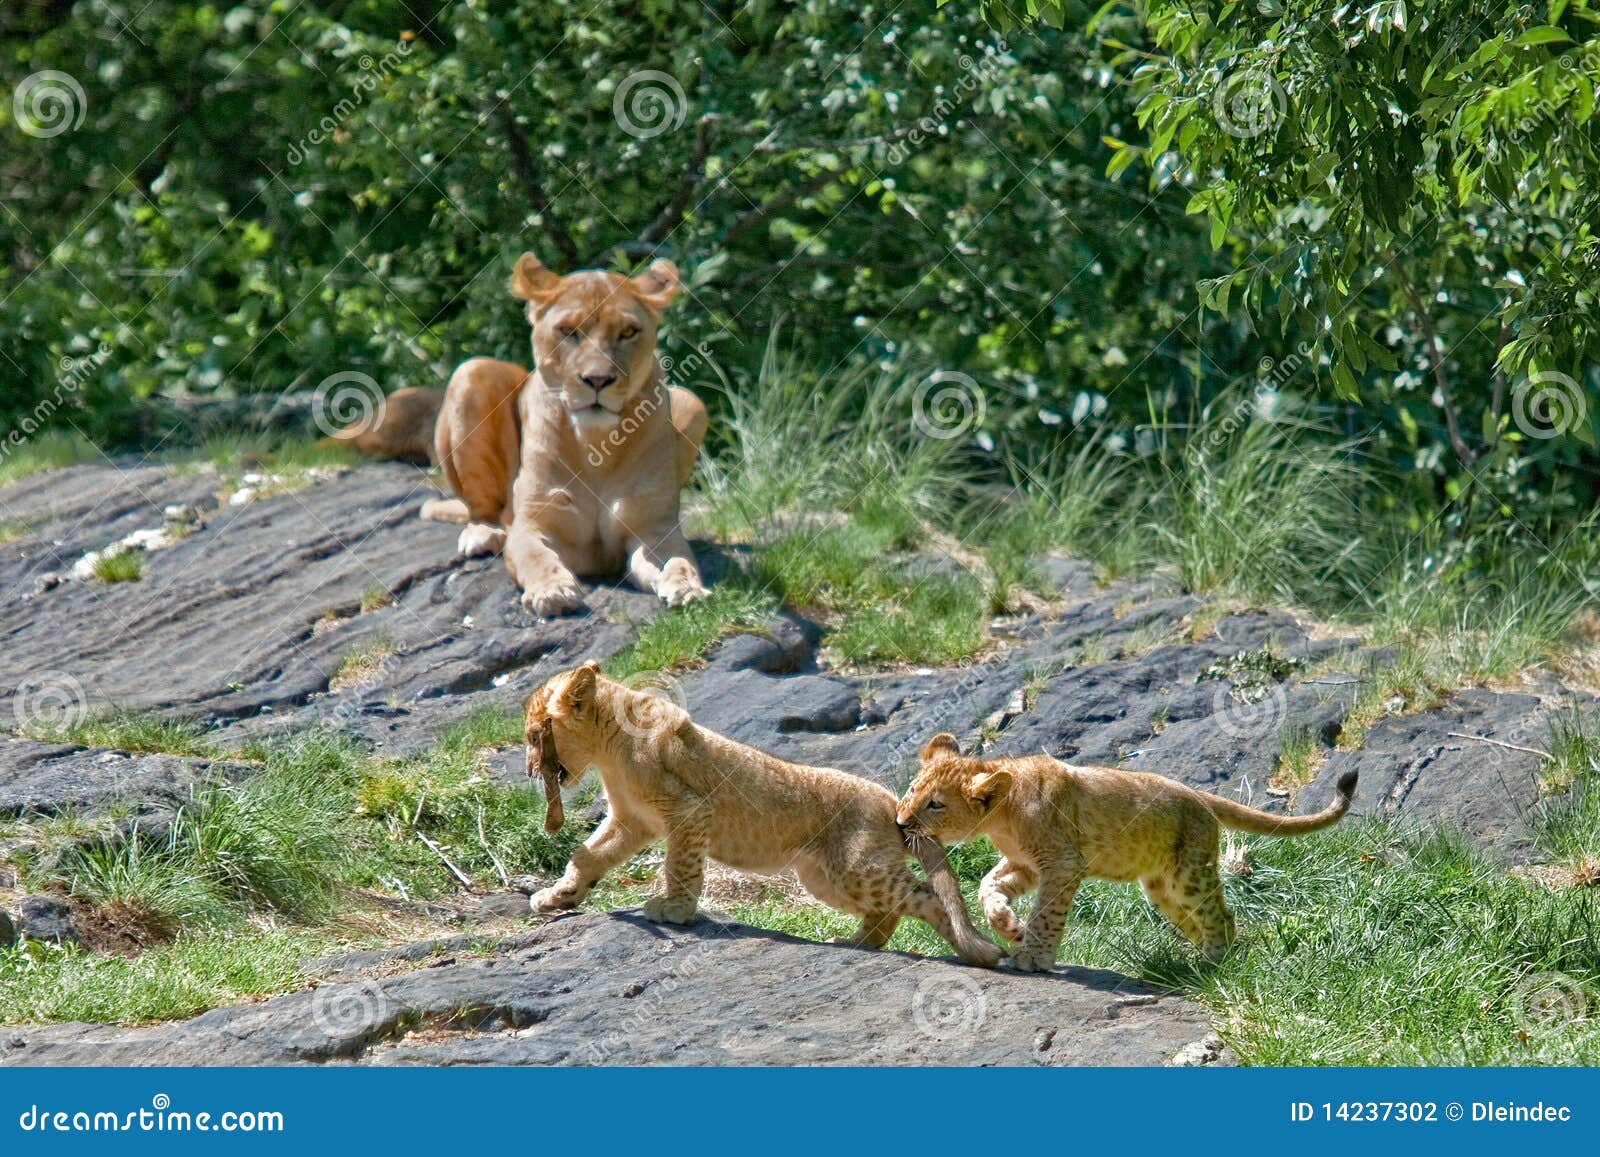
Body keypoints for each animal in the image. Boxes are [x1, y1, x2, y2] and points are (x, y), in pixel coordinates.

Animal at [522, 663, 1004, 968]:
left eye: (532, 736)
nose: (528, 770)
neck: (609, 747)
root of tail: (893, 802)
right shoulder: (631, 820)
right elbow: (587, 855)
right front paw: (558, 896)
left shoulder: (689, 809)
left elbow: (679, 865)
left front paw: (674, 911)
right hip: (823, 876)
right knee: (886, 911)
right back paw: (856, 944)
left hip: (856, 867)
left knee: (925, 896)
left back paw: (974, 953)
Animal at [897, 733, 1358, 968]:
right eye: (912, 789)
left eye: (935, 804)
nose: (900, 823)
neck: (1001, 818)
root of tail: (1200, 796)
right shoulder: (1025, 864)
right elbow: (987, 887)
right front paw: (1009, 927)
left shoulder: (1064, 863)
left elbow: (1046, 913)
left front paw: (1032, 956)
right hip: (1161, 889)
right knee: (1195, 919)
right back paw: (1192, 960)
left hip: (1189, 874)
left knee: (1222, 917)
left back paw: (1211, 963)